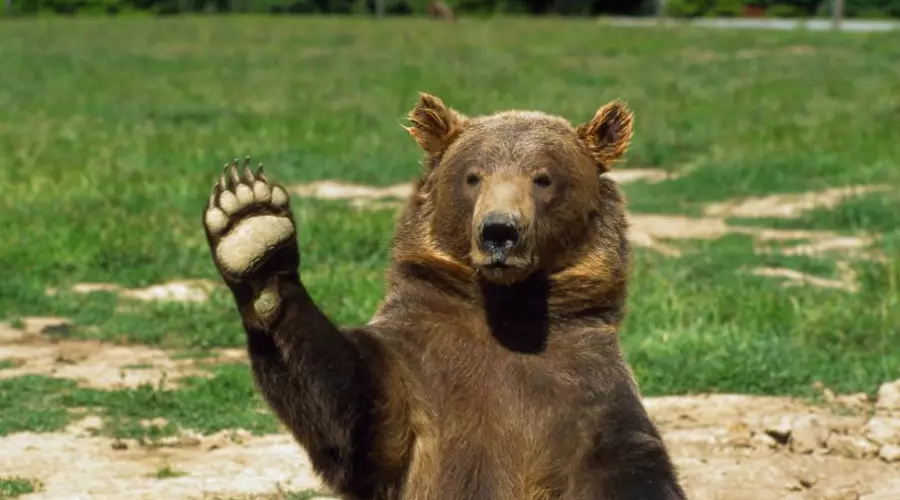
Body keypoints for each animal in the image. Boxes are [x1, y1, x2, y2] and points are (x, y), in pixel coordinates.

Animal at [202, 92, 684, 498]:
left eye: (543, 178)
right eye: (473, 176)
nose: (499, 231)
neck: (507, 311)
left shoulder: (587, 388)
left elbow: (630, 465)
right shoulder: (420, 369)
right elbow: (352, 412)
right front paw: (252, 228)